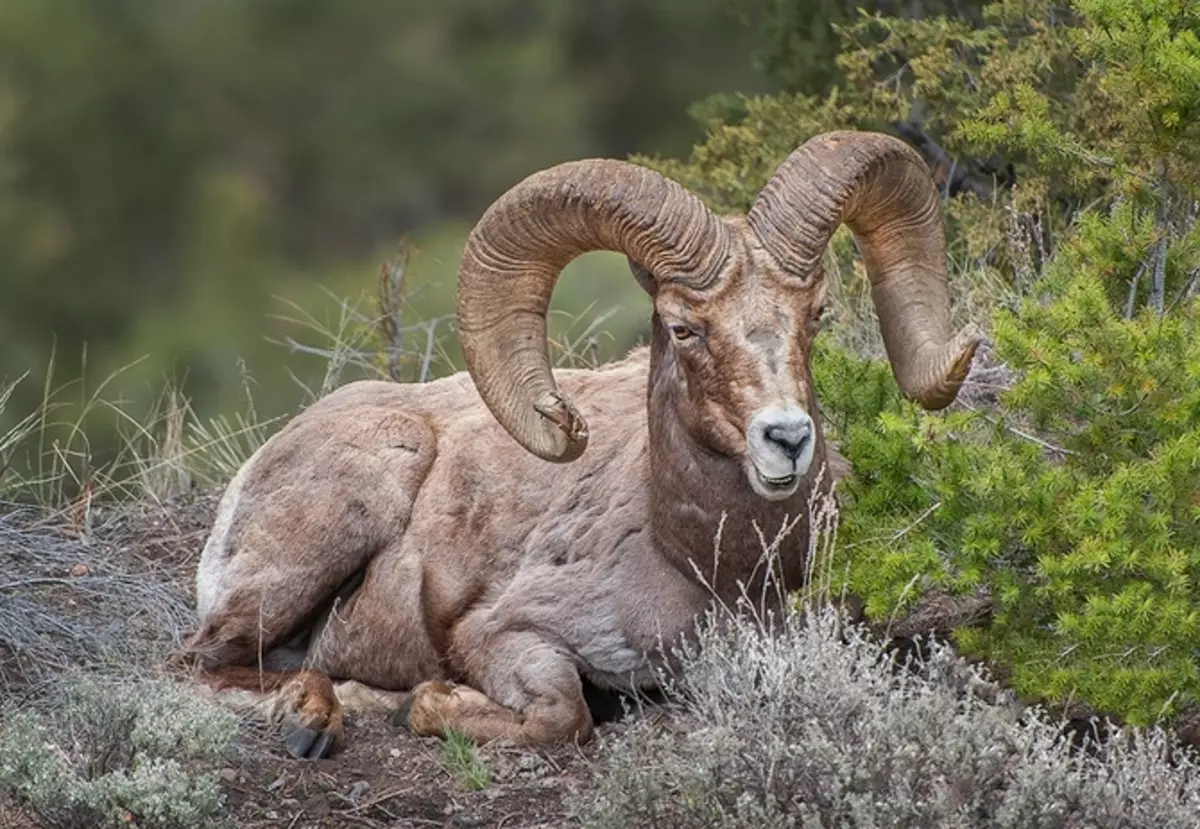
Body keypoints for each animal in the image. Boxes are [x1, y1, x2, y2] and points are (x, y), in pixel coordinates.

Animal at [182, 129, 979, 758]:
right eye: (682, 327)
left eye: (815, 315)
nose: (785, 438)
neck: (717, 570)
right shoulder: (501, 634)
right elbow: (563, 714)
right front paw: (427, 701)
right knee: (203, 665)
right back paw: (314, 721)